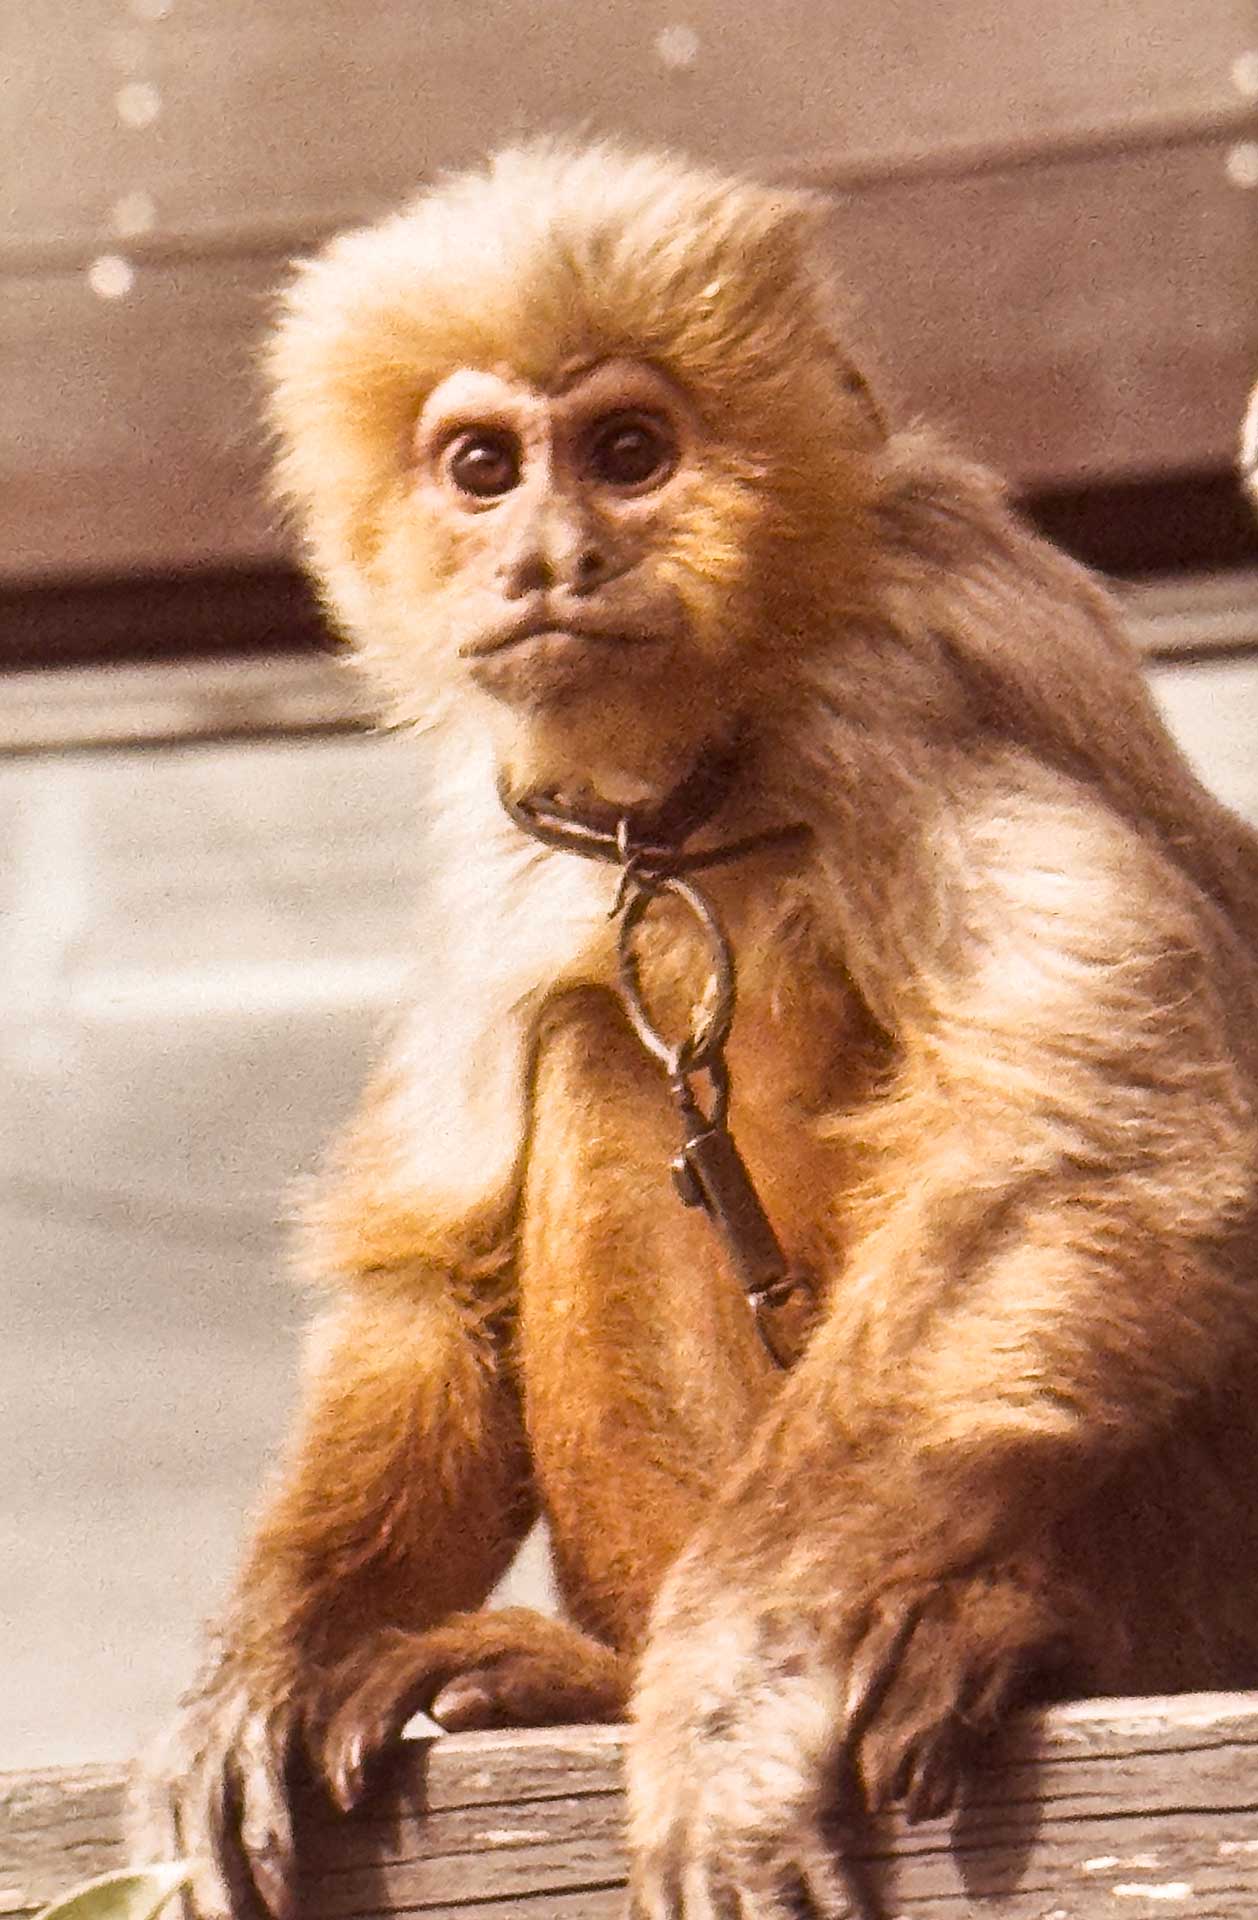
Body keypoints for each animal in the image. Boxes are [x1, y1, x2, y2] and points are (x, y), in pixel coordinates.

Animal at [139, 141, 1258, 1920]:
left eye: (626, 454)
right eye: (482, 467)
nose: (548, 558)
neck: (695, 771)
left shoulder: (884, 687)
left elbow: (1101, 1145)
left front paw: (735, 1681)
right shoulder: (507, 817)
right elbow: (429, 1264)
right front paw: (265, 1655)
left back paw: (1015, 1626)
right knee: (598, 1045)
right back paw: (598, 1671)